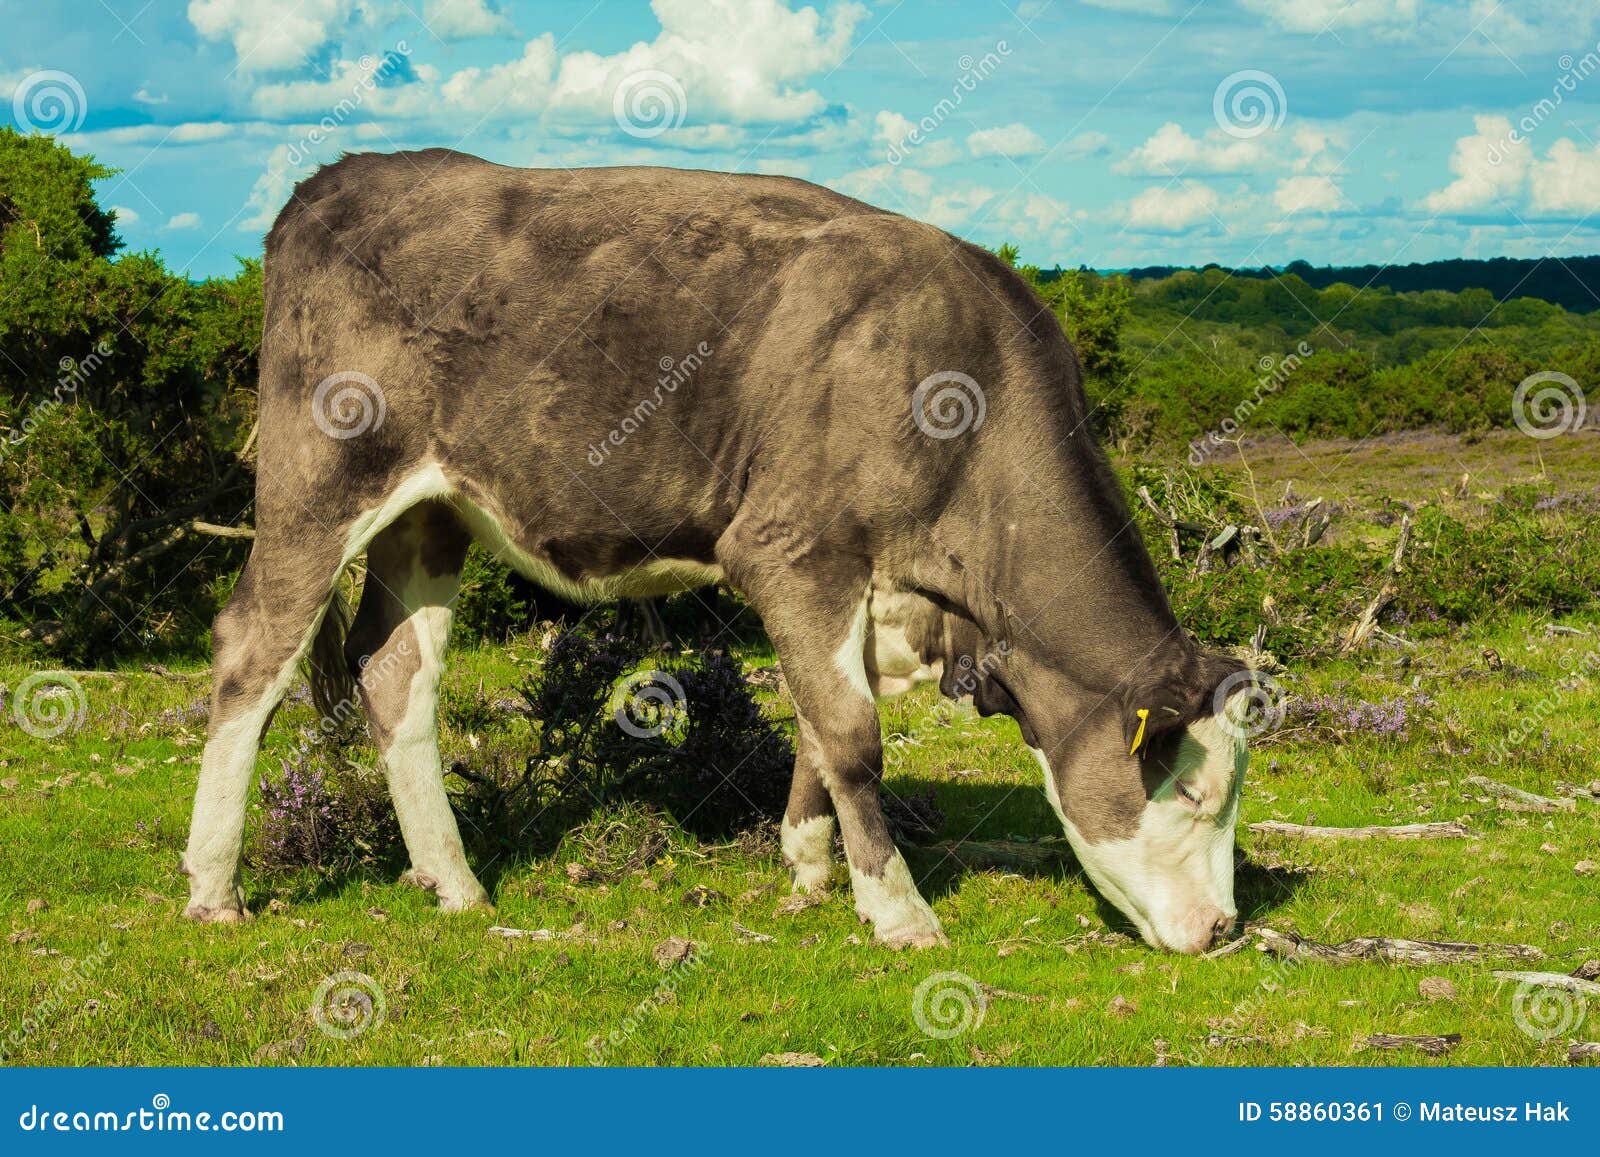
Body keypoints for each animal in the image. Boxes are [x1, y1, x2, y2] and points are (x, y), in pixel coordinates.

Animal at [181, 149, 1256, 953]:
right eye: (1196, 791)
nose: (1223, 930)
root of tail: (342, 178)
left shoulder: (857, 589)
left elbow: (821, 729)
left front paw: (811, 867)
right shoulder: (790, 548)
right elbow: (853, 736)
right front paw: (898, 911)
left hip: (431, 512)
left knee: (395, 668)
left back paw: (454, 881)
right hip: (319, 480)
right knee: (251, 649)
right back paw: (213, 889)